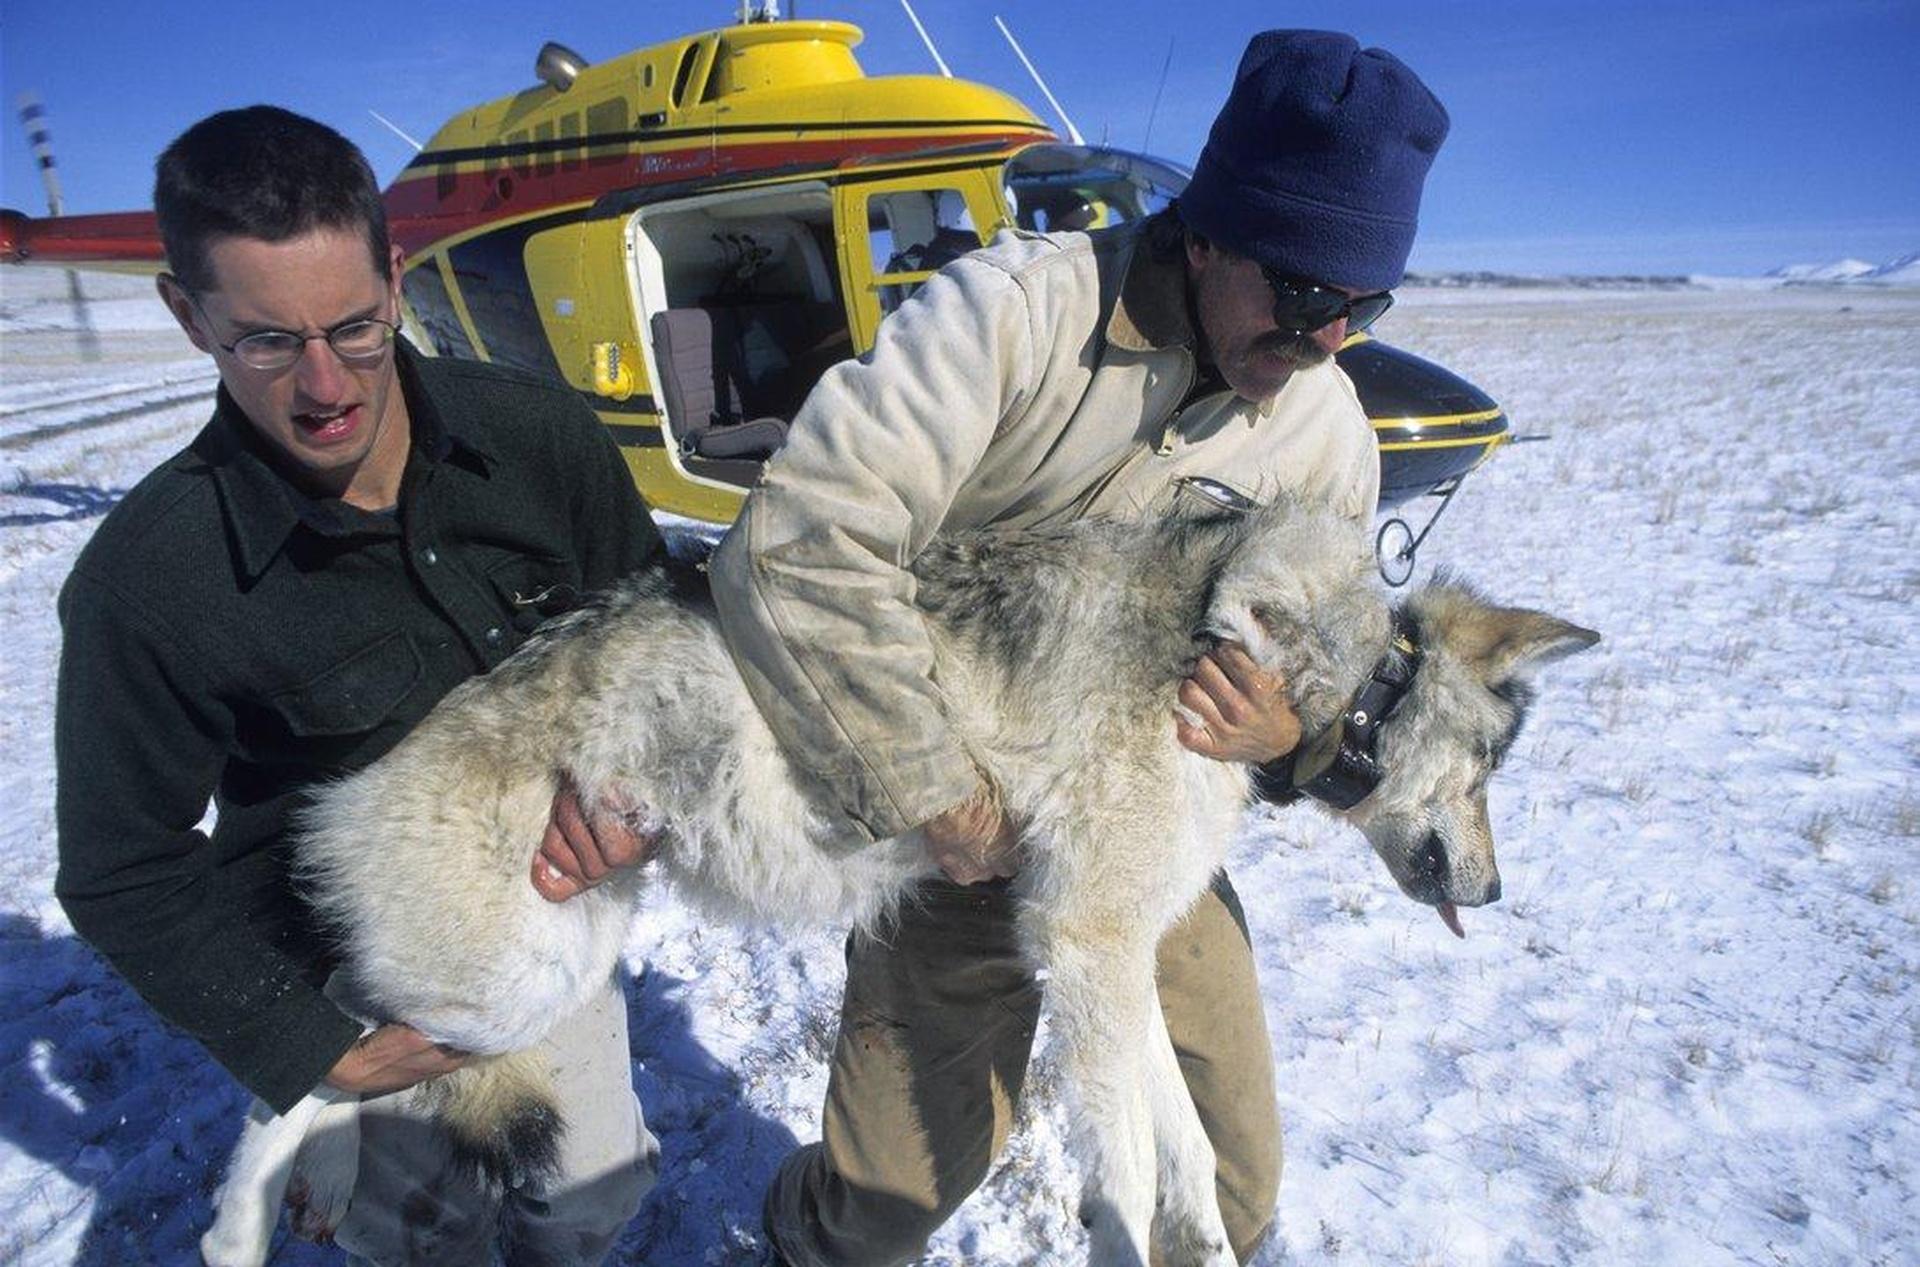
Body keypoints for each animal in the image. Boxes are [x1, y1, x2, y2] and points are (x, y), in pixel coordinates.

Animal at [200, 496, 1597, 1267]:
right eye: (1491, 767)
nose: (1499, 893)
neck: (1301, 664)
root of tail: (357, 777)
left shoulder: (1116, 958)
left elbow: (1188, 1157)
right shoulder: (1088, 941)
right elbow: (1128, 1173)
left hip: (534, 982)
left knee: (348, 1054)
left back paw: (315, 1196)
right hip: (502, 985)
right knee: (309, 1052)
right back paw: (237, 1232)